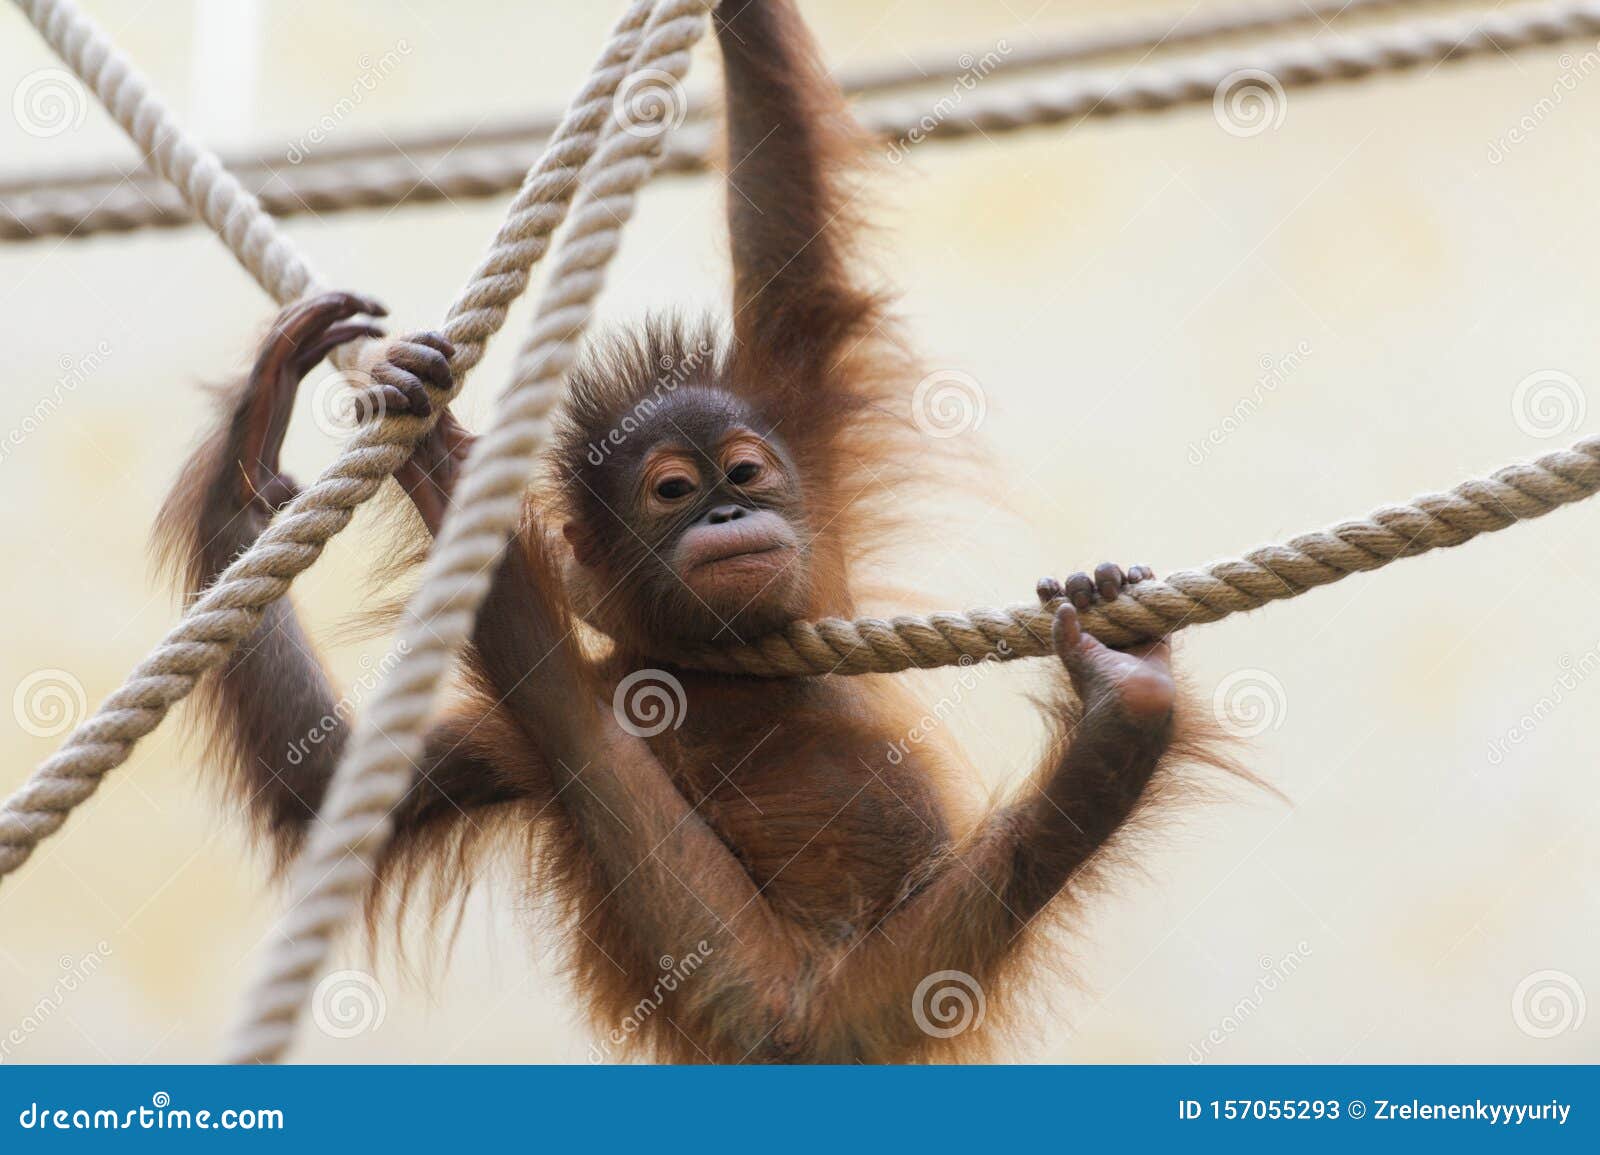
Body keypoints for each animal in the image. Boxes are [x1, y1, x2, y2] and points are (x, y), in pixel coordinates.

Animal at [157, 0, 1228, 1063]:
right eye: (672, 490)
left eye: (746, 472)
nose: (727, 510)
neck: (711, 656)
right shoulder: (551, 724)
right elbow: (324, 780)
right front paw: (253, 446)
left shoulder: (807, 487)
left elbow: (792, 273)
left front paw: (258, 441)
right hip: (781, 993)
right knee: (578, 730)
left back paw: (1120, 703)